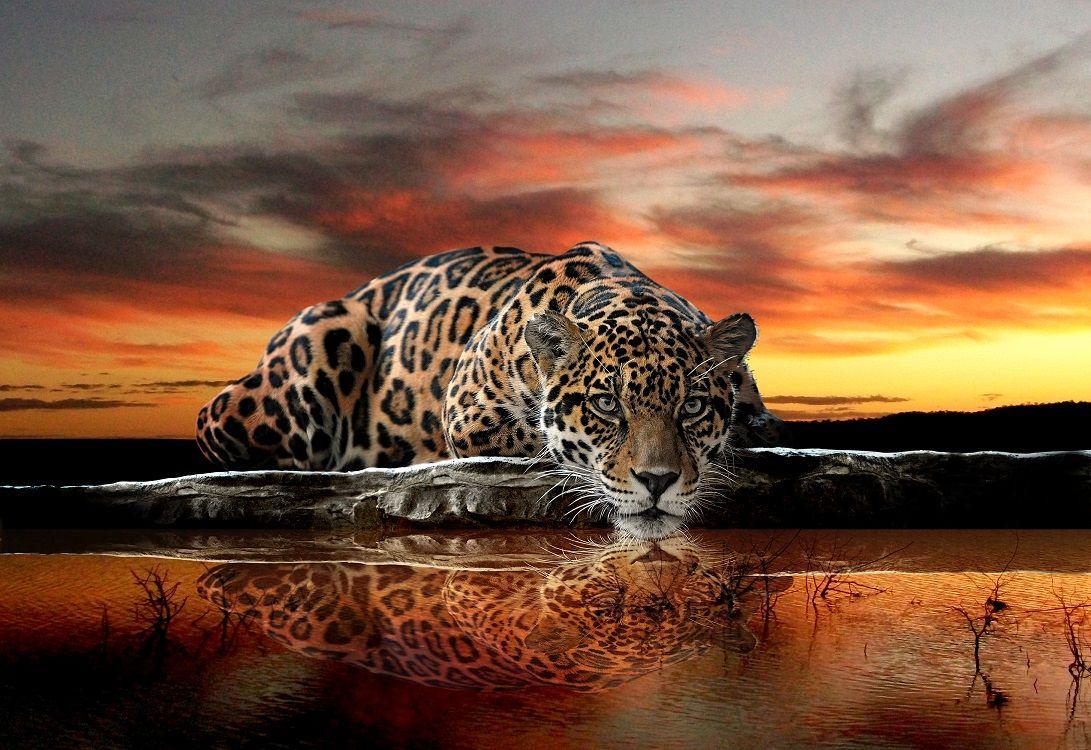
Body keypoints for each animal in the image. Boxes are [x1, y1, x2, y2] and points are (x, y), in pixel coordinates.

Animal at [196, 241, 786, 526]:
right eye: (605, 405)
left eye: (691, 408)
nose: (658, 483)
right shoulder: (467, 411)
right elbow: (542, 441)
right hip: (320, 344)